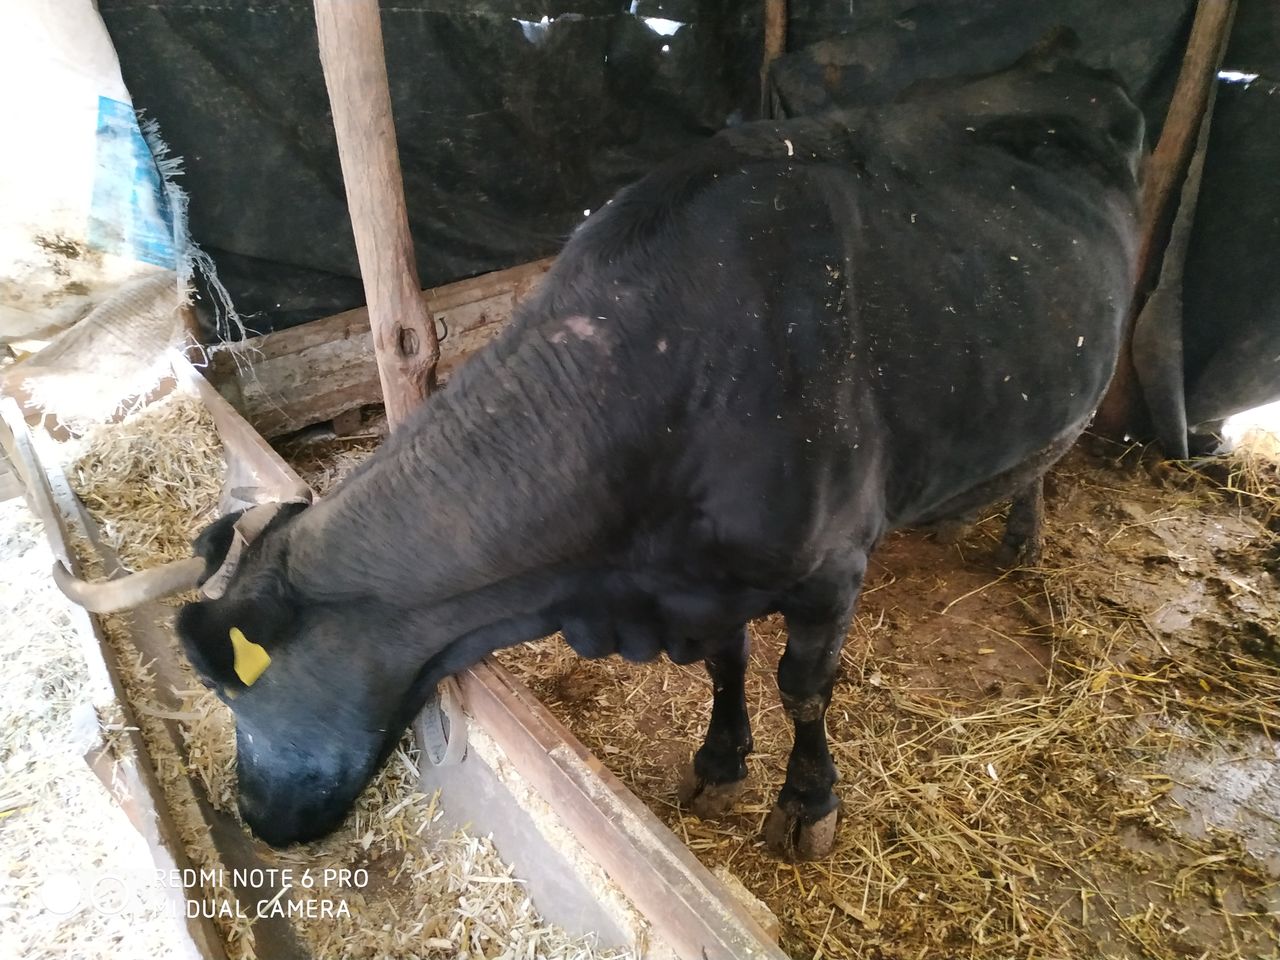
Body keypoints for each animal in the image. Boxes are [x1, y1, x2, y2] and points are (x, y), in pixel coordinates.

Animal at [54, 37, 1144, 860]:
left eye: (232, 690)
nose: (254, 819)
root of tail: (1074, 63)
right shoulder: (701, 583)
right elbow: (724, 666)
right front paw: (717, 763)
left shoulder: (830, 564)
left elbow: (802, 688)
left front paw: (805, 804)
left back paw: (1021, 534)